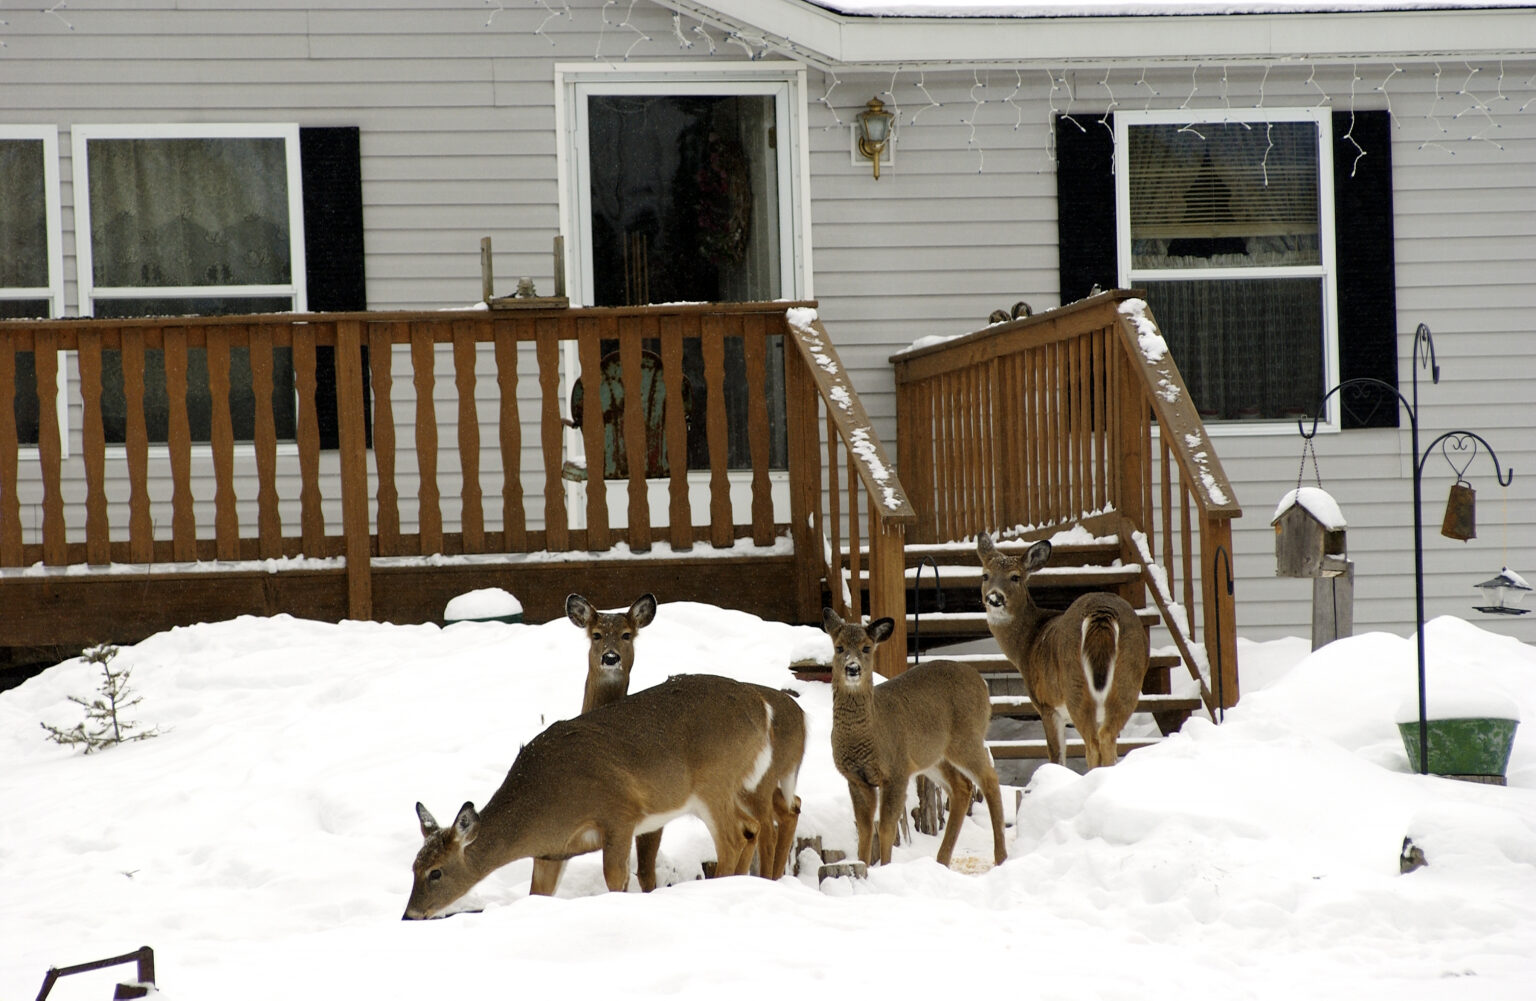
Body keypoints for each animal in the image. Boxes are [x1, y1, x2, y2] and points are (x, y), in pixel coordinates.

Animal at [403, 673, 776, 919]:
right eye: (413, 867)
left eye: (435, 872)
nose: (410, 915)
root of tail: (762, 708)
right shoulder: (552, 852)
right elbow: (539, 893)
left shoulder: (620, 813)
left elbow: (616, 878)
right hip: (732, 785)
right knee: (752, 828)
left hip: (714, 781)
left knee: (733, 838)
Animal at [564, 592, 805, 885]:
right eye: (596, 634)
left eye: (627, 635)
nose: (610, 658)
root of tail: (800, 716)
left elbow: (645, 868)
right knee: (787, 811)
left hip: (751, 784)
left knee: (763, 827)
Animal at [821, 607, 1007, 870]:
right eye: (839, 647)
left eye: (867, 647)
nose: (853, 668)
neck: (868, 733)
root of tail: (982, 682)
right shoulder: (856, 778)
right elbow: (865, 831)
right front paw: (863, 866)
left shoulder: (896, 771)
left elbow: (886, 828)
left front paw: (885, 868)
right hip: (933, 757)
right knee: (962, 787)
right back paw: (941, 860)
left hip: (967, 738)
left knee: (989, 778)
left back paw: (1001, 856)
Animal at [977, 532, 1151, 770]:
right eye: (985, 575)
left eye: (1015, 577)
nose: (995, 597)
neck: (1028, 643)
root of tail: (1101, 613)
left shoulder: (1046, 704)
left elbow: (1056, 755)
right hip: (1128, 676)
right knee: (1109, 738)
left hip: (1074, 684)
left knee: (1094, 744)